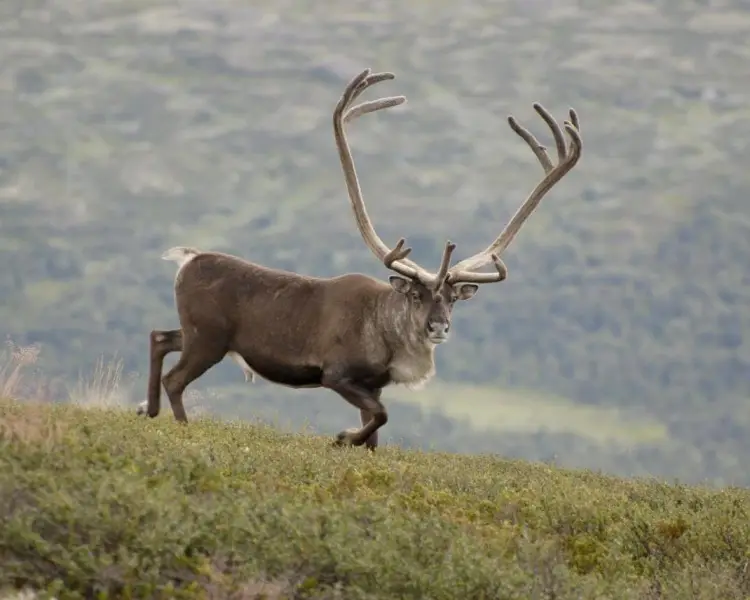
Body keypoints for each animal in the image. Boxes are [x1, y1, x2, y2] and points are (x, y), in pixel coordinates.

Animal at [137, 68, 582, 450]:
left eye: (453, 299)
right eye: (417, 296)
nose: (438, 327)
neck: (385, 332)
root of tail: (187, 260)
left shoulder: (374, 383)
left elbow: (376, 432)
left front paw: (354, 441)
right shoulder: (337, 374)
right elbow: (380, 417)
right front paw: (341, 437)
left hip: (201, 333)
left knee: (160, 336)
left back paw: (148, 409)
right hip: (209, 338)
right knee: (176, 378)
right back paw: (179, 425)